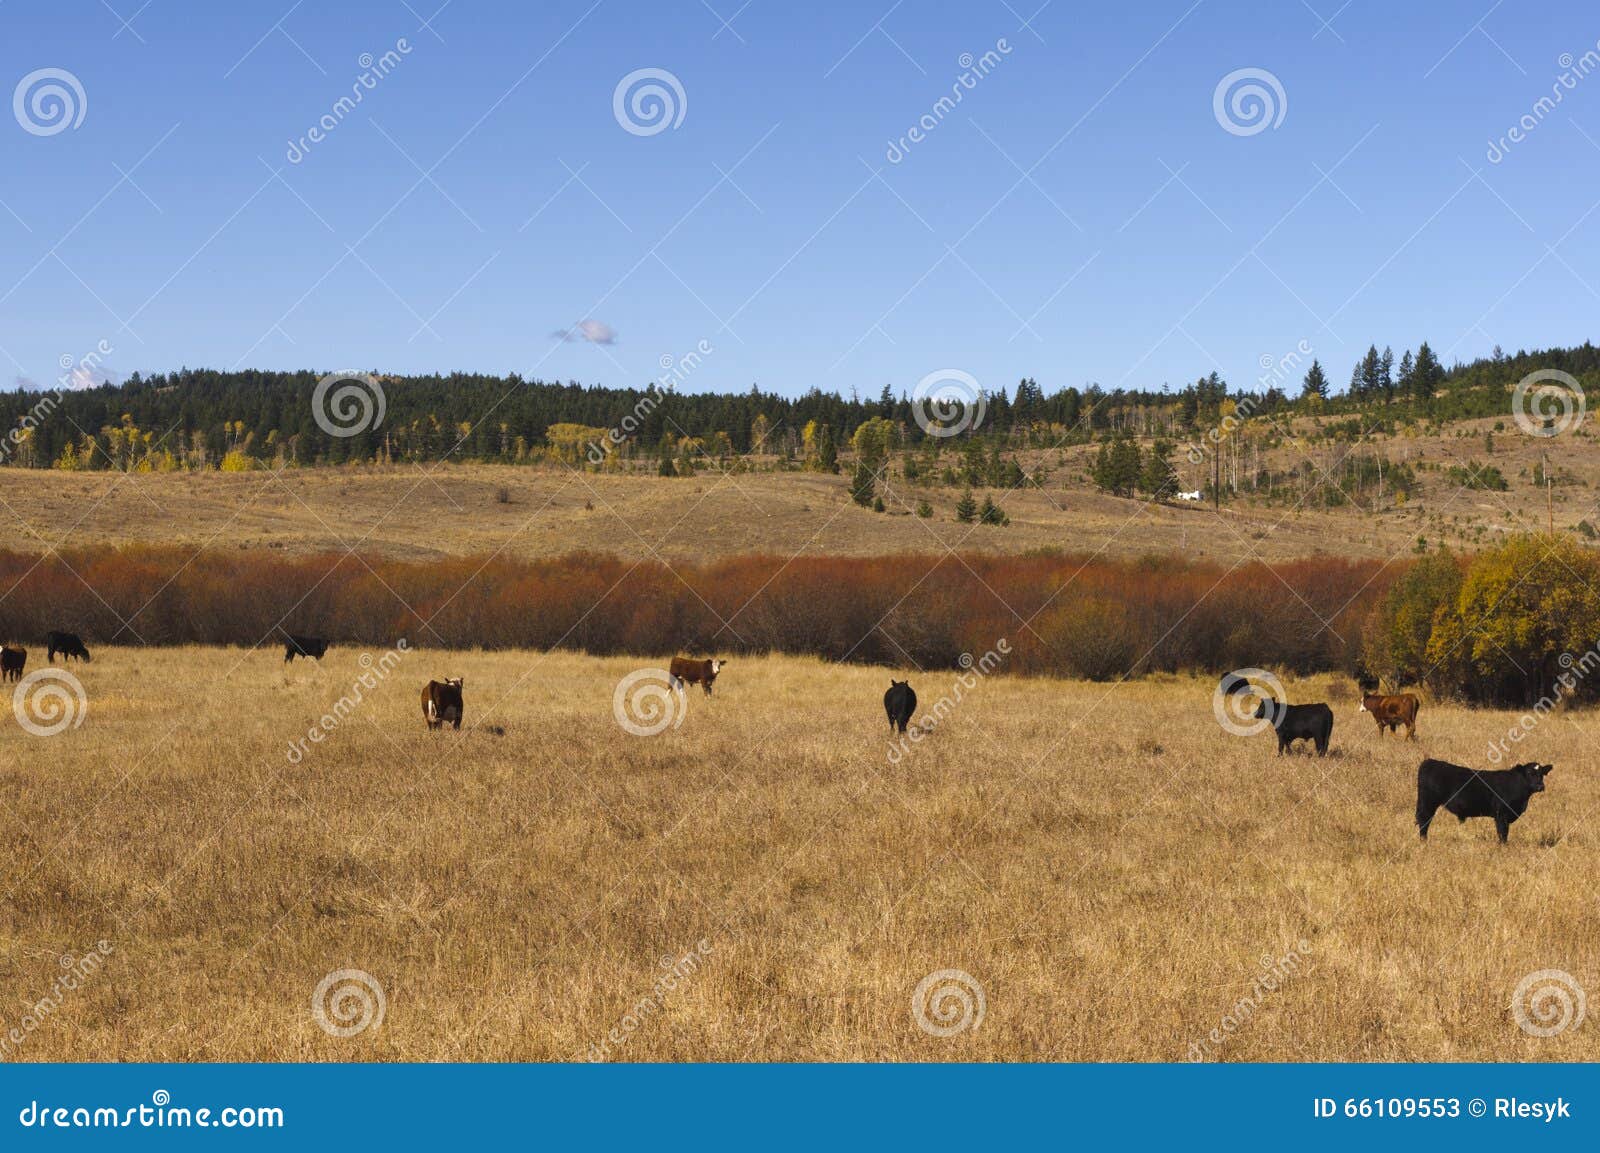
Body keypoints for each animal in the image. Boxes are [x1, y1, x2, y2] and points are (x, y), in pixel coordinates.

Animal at [1416, 758, 1552, 844]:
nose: (1540, 786)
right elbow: (1503, 832)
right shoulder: (1501, 814)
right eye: (1529, 773)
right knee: (1424, 820)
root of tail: (1429, 761)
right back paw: (1424, 841)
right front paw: (1503, 846)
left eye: (1542, 774)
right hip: (1428, 803)